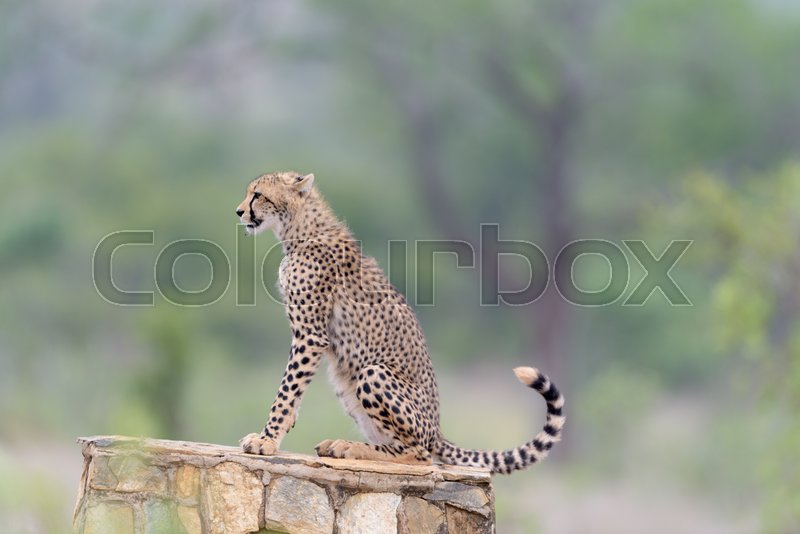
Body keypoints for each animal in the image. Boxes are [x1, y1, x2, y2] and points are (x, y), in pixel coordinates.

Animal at [235, 171, 564, 474]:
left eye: (258, 195)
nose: (239, 212)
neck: (299, 230)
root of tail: (437, 431)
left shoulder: (311, 335)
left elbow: (287, 390)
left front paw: (267, 440)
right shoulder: (309, 335)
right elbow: (294, 389)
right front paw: (282, 428)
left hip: (373, 373)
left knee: (419, 454)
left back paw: (350, 447)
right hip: (347, 384)